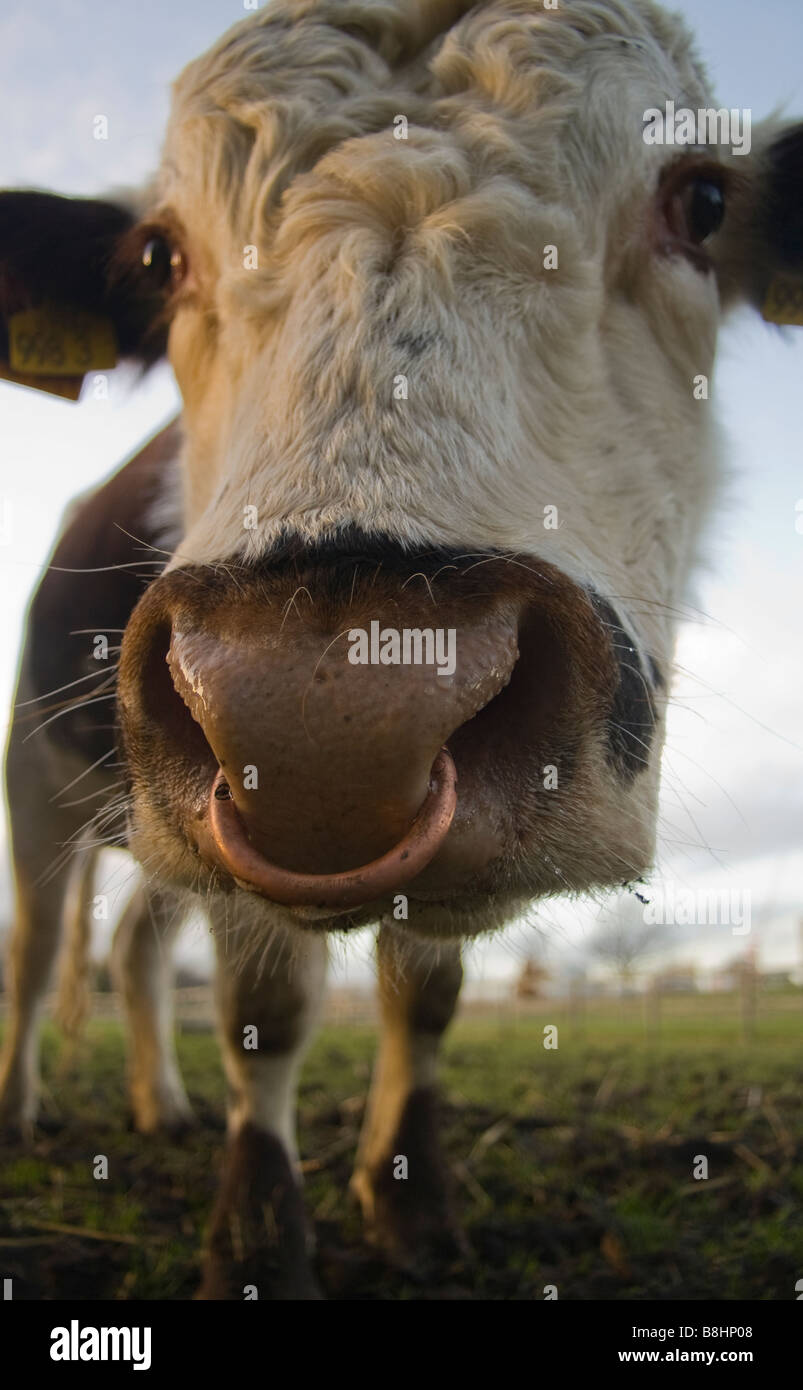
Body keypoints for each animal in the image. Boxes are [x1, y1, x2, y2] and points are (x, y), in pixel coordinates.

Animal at [1, 0, 801, 1299]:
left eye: (701, 199)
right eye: (161, 258)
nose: (326, 720)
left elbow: (424, 998)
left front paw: (411, 1202)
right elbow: (266, 1007)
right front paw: (259, 1234)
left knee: (132, 947)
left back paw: (161, 1105)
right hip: (39, 783)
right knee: (30, 952)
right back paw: (22, 1107)